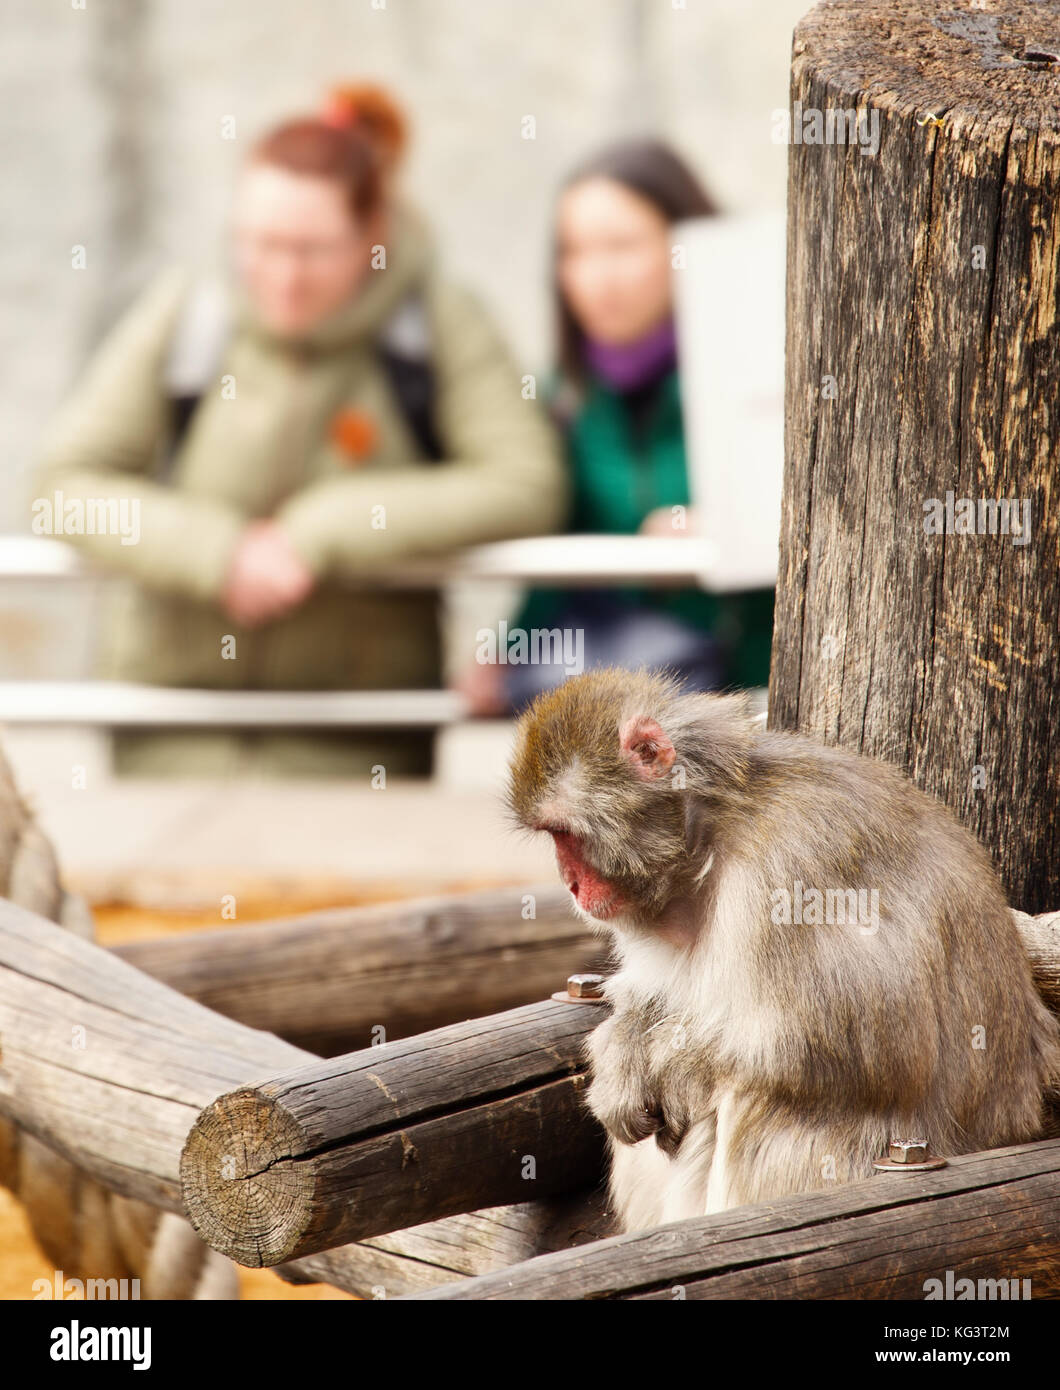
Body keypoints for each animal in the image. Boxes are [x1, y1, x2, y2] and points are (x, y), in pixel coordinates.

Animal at [507, 667, 1060, 1232]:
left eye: (565, 833)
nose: (571, 883)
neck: (710, 836)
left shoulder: (790, 871)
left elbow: (849, 1039)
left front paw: (674, 1068)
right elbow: (652, 1001)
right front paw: (619, 1055)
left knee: (760, 1092)